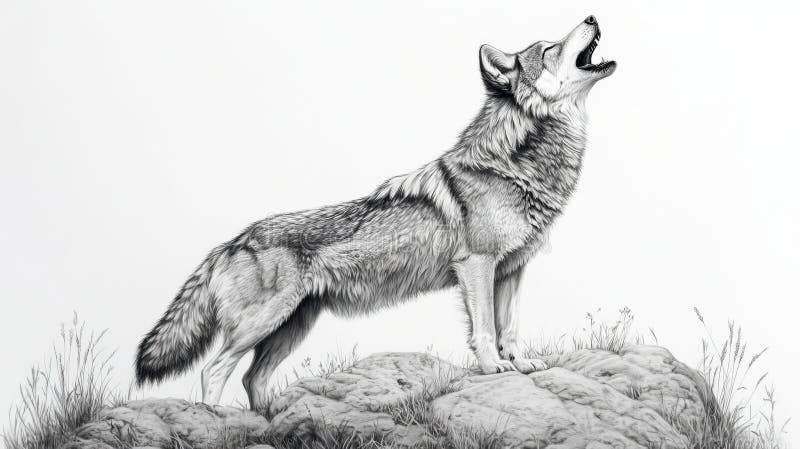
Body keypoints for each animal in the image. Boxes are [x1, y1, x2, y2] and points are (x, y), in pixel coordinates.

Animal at [135, 16, 615, 409]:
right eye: (550, 48)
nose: (592, 16)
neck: (515, 164)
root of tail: (231, 242)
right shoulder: (477, 266)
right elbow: (485, 331)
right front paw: (493, 368)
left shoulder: (513, 270)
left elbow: (510, 328)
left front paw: (520, 362)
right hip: (263, 323)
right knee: (214, 369)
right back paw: (217, 419)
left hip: (290, 328)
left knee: (253, 379)